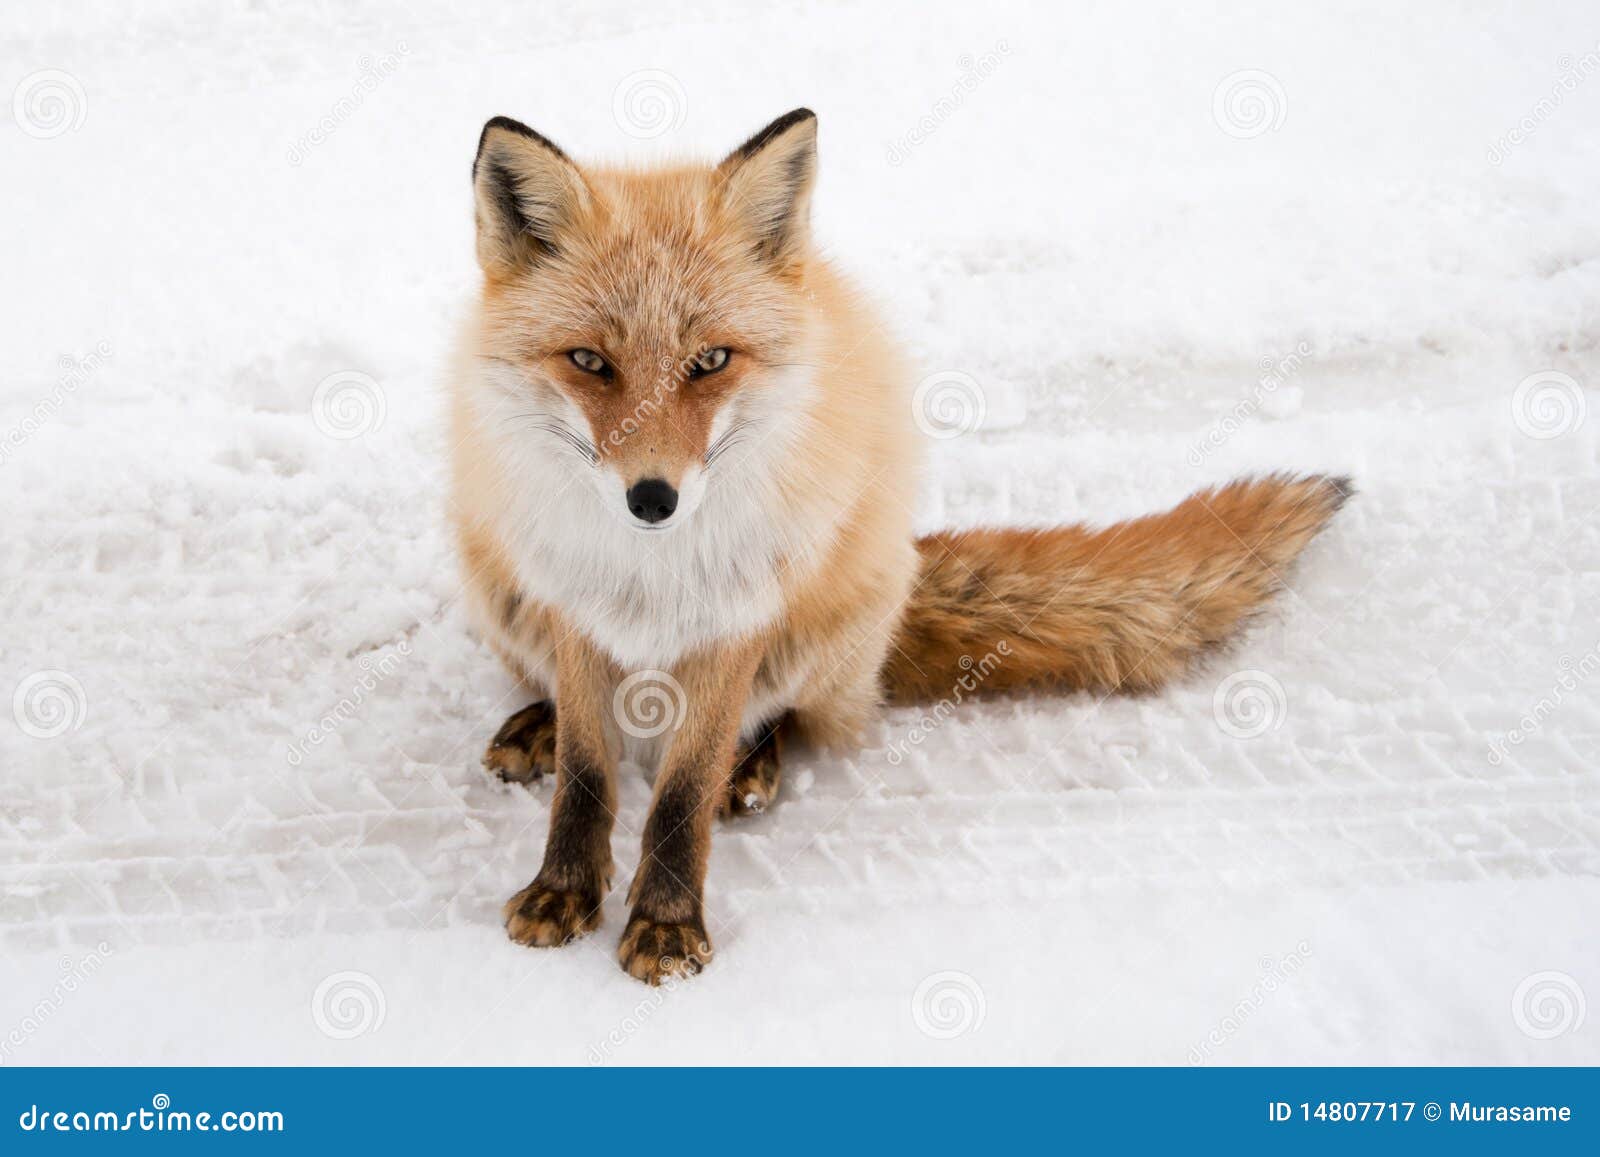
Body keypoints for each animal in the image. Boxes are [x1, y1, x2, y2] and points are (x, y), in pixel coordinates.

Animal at [449, 107, 1350, 984]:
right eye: (588, 360)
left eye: (710, 361)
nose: (653, 499)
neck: (650, 574)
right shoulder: (574, 600)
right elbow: (586, 772)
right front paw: (564, 887)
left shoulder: (739, 613)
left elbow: (682, 791)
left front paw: (666, 924)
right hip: (496, 588)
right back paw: (536, 723)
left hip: (824, 624)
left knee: (782, 719)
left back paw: (750, 767)